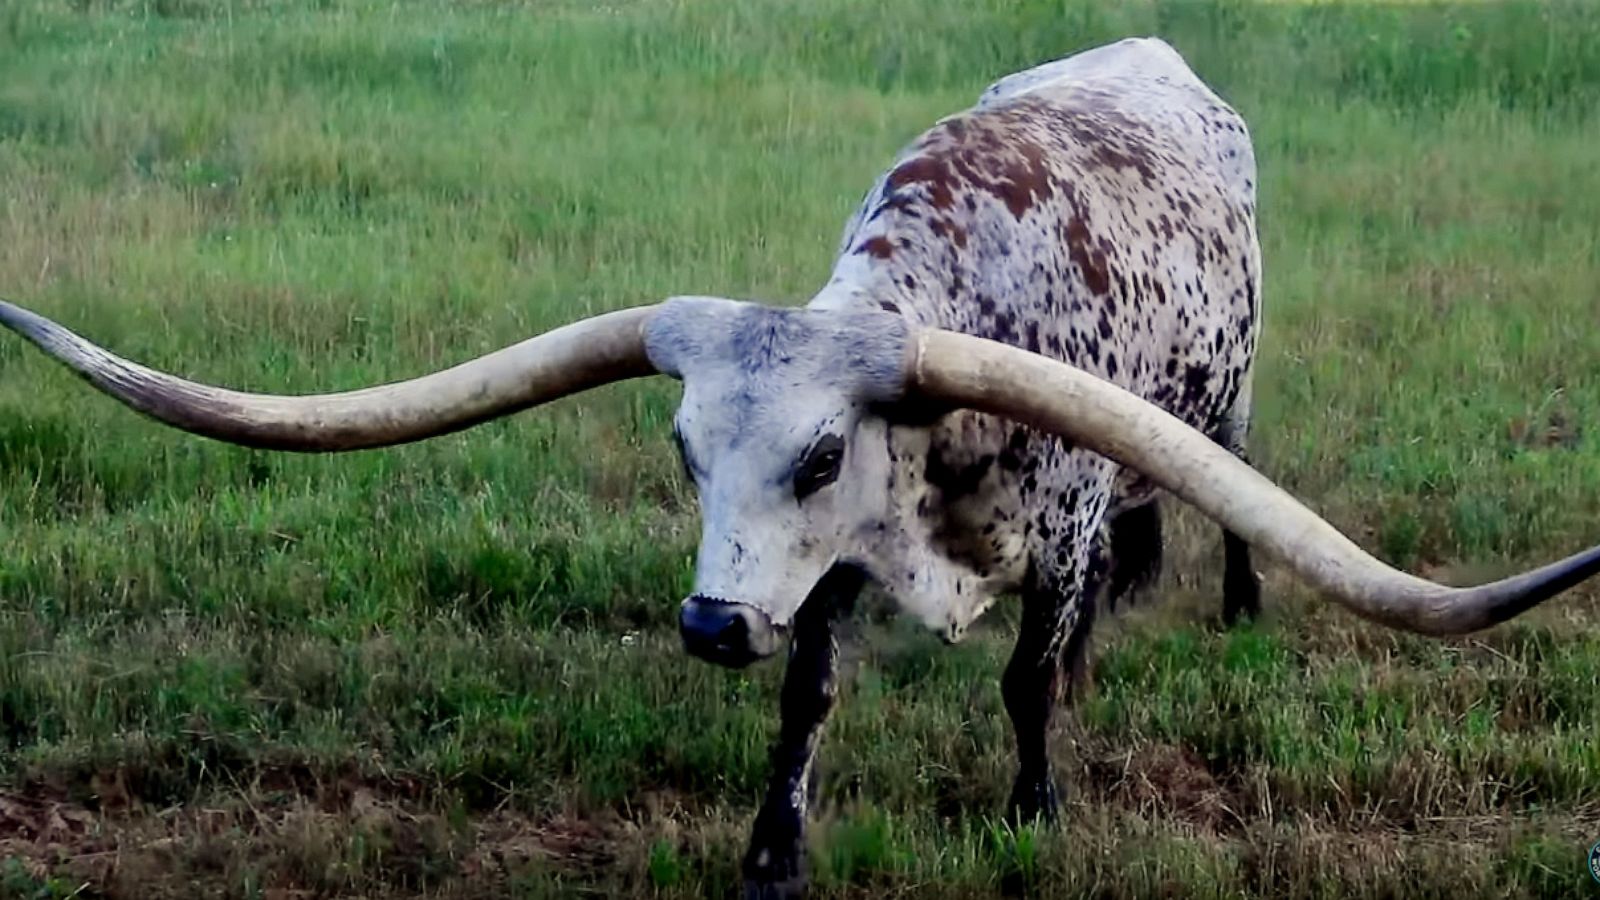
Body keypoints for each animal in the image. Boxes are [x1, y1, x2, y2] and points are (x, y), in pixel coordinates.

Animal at [4, 38, 1599, 900]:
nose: (710, 623)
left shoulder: (1053, 524)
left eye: (823, 444)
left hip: (1232, 387)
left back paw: (1231, 602)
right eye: (685, 448)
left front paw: (1034, 810)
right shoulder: (831, 566)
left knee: (1223, 484)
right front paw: (773, 851)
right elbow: (809, 695)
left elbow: (1028, 680)